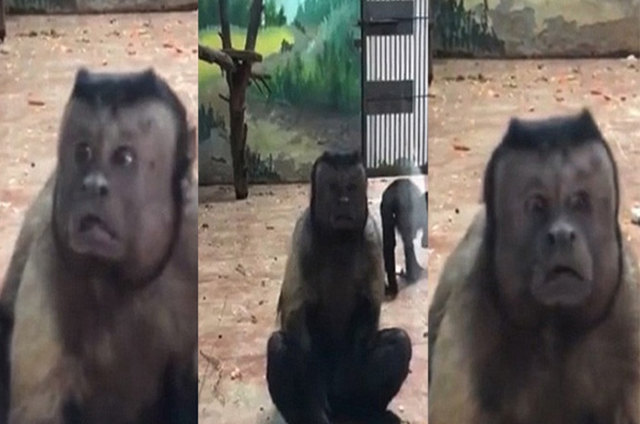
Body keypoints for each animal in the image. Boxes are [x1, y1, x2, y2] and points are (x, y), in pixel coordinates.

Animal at [0, 68, 198, 424]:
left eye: (124, 157)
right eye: (83, 152)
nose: (92, 185)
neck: (119, 279)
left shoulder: (189, 243)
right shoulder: (51, 252)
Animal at [266, 150, 413, 424]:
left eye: (351, 188)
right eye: (334, 188)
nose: (344, 201)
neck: (338, 240)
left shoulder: (371, 236)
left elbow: (369, 308)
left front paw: (348, 379)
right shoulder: (304, 235)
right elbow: (295, 315)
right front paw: (314, 400)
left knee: (399, 342)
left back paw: (365, 412)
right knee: (278, 346)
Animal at [428, 109, 640, 424]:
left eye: (579, 202)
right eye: (538, 205)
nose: (561, 235)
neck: (554, 329)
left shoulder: (632, 313)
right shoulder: (469, 318)